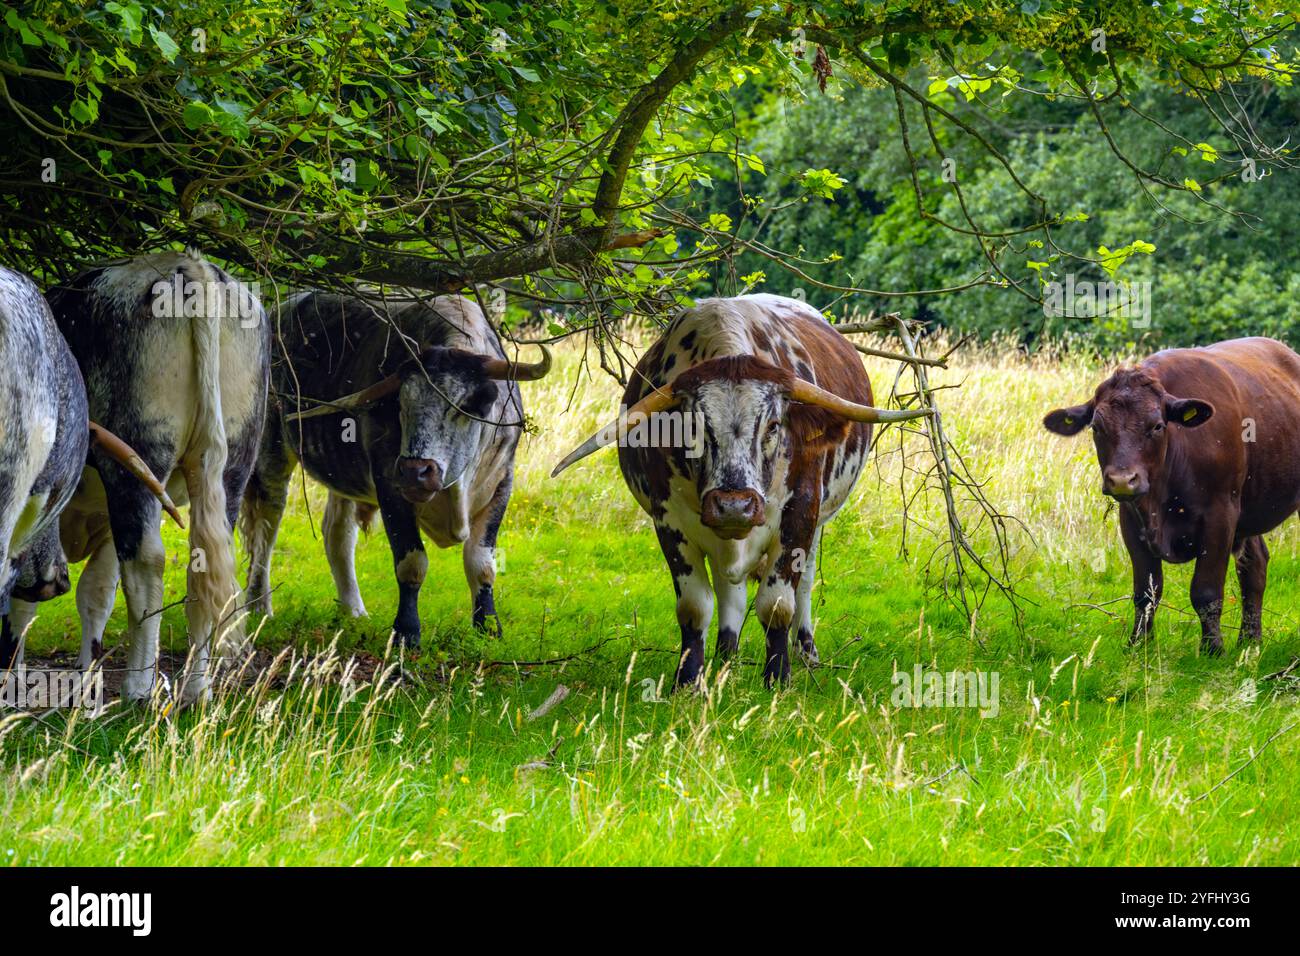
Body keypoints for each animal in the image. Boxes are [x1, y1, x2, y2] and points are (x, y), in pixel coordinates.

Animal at [31, 250, 270, 705]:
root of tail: (190, 265)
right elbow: (95, 592)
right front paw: (84, 676)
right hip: (232, 461)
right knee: (204, 563)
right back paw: (197, 690)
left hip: (138, 457)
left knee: (146, 564)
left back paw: (138, 689)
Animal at [241, 291, 551, 648]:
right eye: (401, 406)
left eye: (460, 407)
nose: (415, 472)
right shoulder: (390, 487)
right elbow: (412, 563)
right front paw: (406, 632)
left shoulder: (500, 485)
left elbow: (481, 563)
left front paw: (487, 627)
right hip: (271, 454)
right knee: (265, 531)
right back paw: (259, 606)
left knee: (337, 534)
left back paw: (353, 610)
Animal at [552, 294, 930, 688]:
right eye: (692, 427)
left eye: (774, 425)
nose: (734, 506)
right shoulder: (669, 520)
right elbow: (694, 605)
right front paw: (688, 680)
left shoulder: (799, 514)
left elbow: (777, 603)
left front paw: (777, 678)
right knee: (728, 591)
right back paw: (726, 659)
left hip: (816, 525)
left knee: (804, 584)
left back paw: (805, 652)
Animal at [1042, 337, 1300, 655]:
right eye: (1096, 427)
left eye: (1157, 425)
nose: (1122, 480)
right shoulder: (1131, 520)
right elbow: (1146, 592)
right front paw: (1138, 645)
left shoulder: (1221, 515)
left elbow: (1206, 591)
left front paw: (1212, 650)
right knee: (1255, 565)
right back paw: (1250, 642)